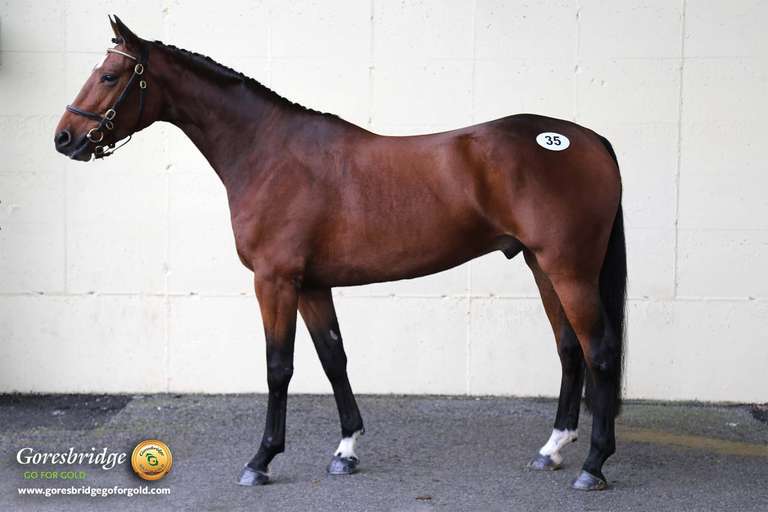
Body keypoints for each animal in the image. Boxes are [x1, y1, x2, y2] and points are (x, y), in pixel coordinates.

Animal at [55, 16, 626, 492]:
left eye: (110, 76)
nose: (65, 138)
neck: (267, 152)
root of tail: (588, 138)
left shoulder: (275, 280)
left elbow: (278, 367)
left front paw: (261, 460)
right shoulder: (312, 284)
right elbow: (334, 358)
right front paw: (346, 450)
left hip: (569, 269)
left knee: (599, 351)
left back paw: (594, 466)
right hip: (541, 266)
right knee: (569, 349)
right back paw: (553, 449)